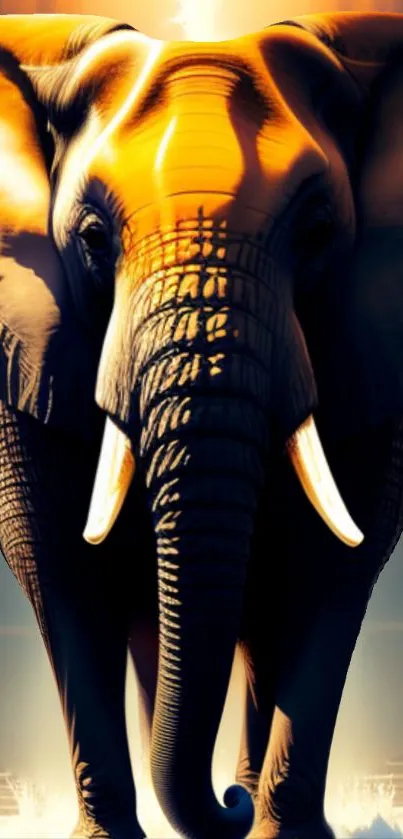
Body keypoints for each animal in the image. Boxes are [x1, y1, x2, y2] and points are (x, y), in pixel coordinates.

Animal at [2, 9, 403, 839]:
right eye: (92, 239)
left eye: (317, 232)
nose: (227, 802)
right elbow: (58, 561)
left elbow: (335, 562)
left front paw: (281, 830)